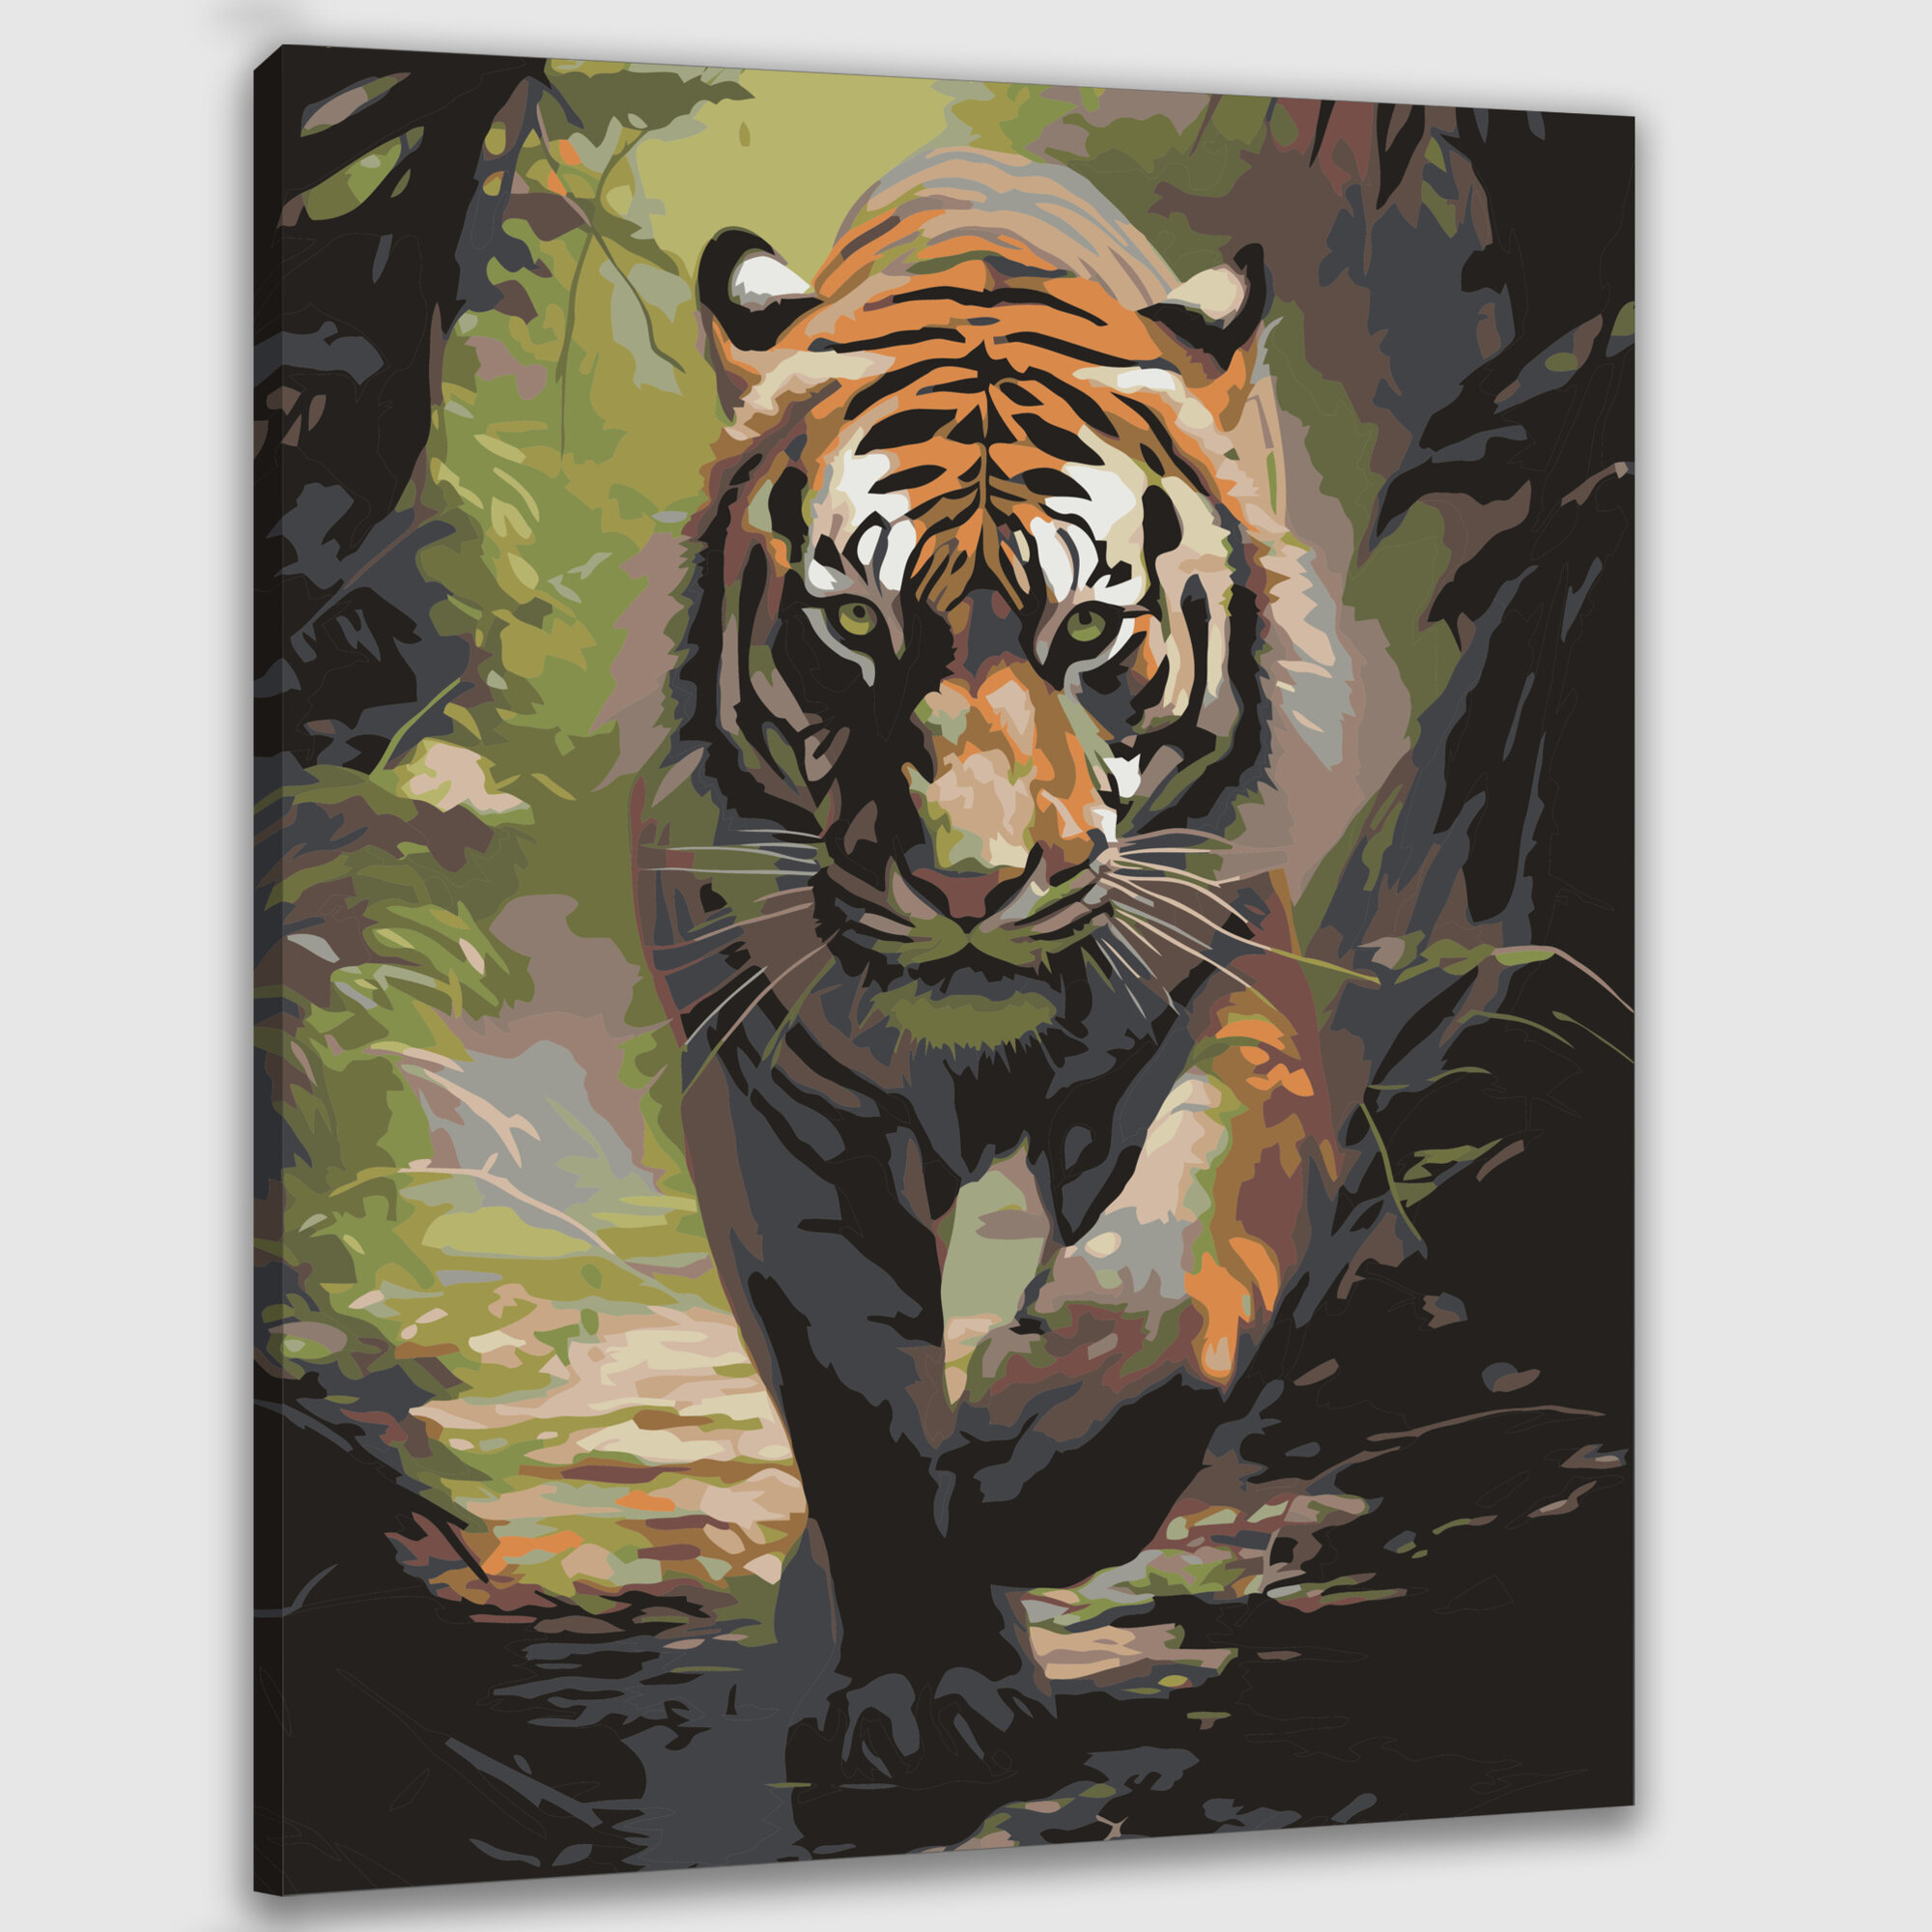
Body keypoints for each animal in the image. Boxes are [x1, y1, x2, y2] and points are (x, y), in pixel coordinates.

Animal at [633, 147, 1397, 1779]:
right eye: (856, 621)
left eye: (1091, 630)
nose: (971, 884)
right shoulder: (777, 1098)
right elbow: (854, 1407)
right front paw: (927, 1680)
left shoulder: (1225, 994)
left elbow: (1173, 1278)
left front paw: (1029, 1492)